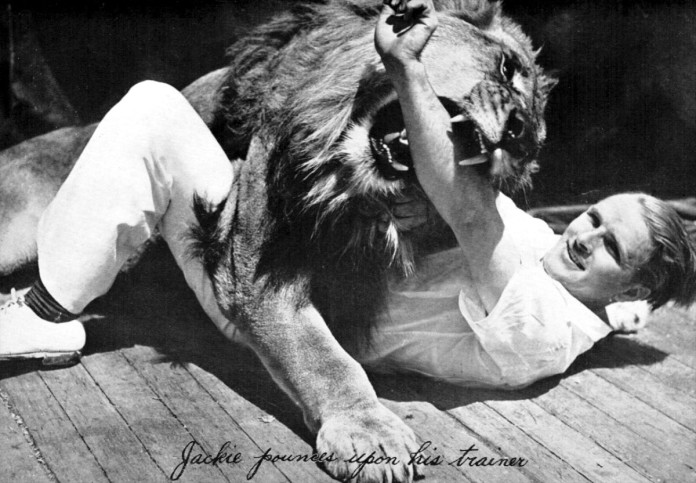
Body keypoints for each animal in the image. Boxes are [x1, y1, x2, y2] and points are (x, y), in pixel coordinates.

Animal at [0, 1, 555, 481]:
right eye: (507, 67)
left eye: (532, 143)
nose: (520, 135)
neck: (341, 176)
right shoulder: (256, 268)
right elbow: (322, 357)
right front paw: (368, 431)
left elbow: (325, 356)